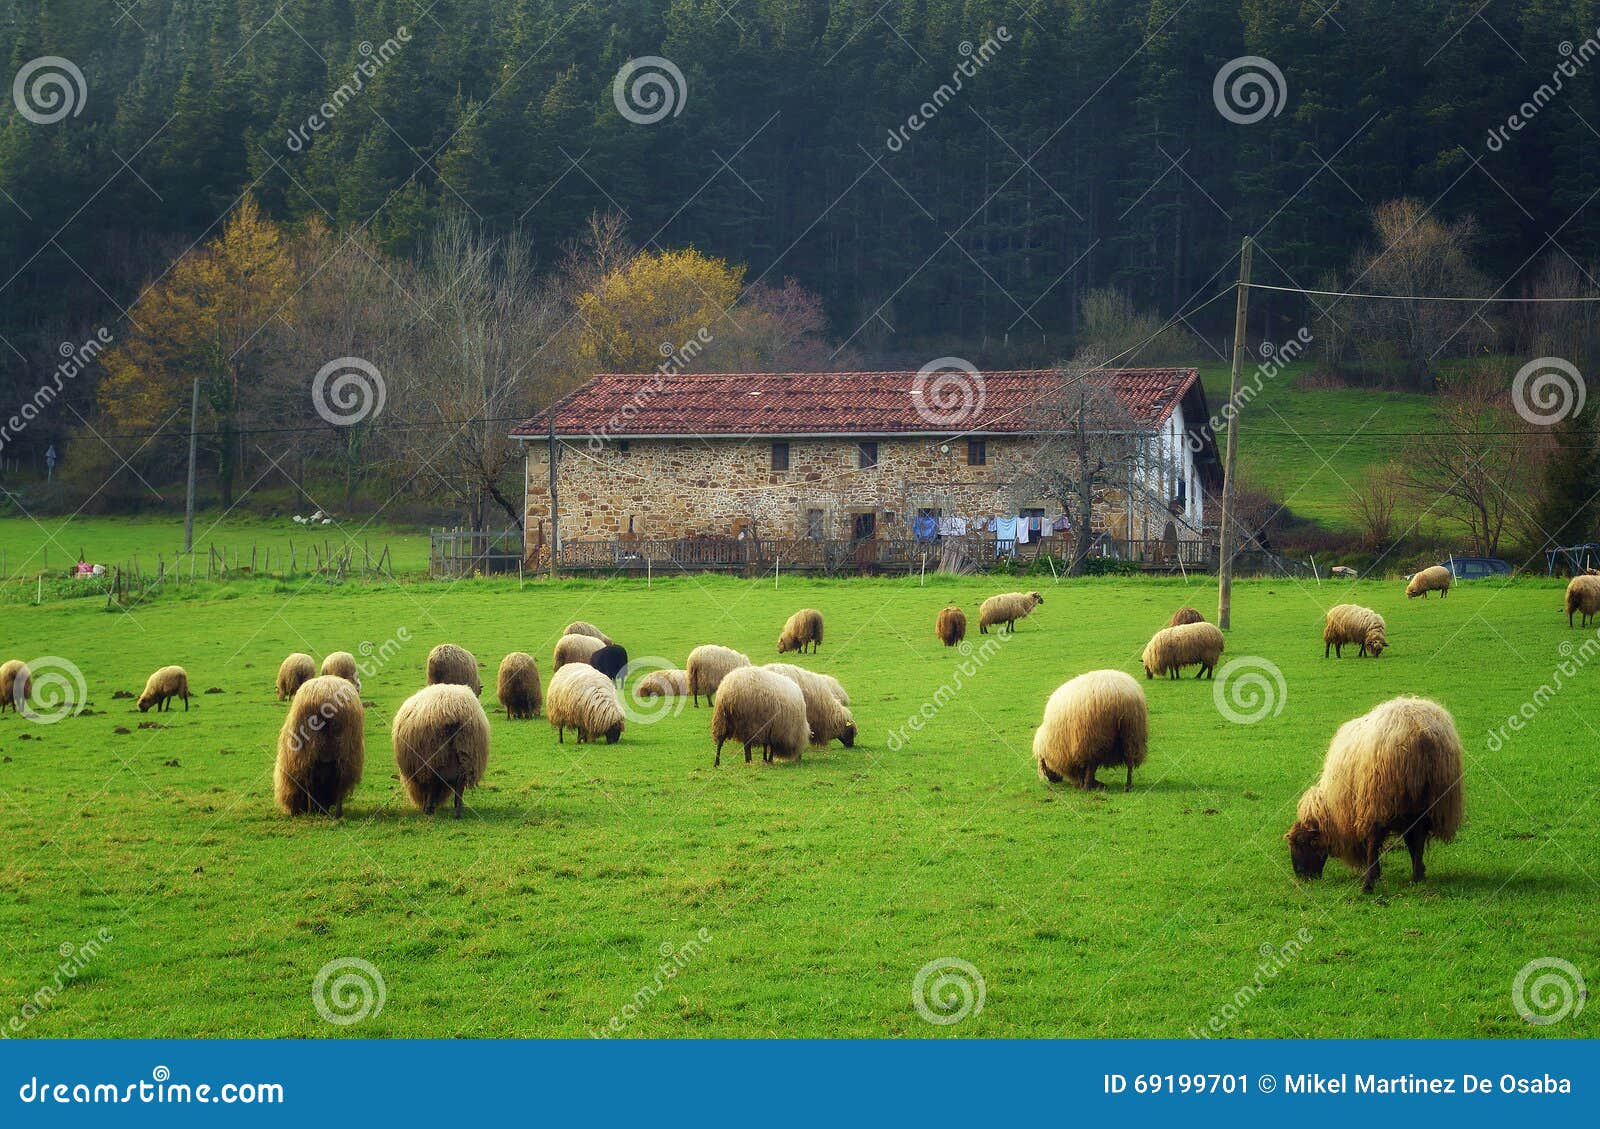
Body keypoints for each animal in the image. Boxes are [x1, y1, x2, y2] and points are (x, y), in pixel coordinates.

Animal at [273, 675, 364, 818]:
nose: (321, 809)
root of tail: (327, 695)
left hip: (307, 749)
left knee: (309, 779)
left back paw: (312, 811)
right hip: (346, 748)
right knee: (341, 778)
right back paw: (337, 813)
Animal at [391, 684, 491, 817]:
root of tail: (453, 711)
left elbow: (429, 788)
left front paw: (428, 806)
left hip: (432, 756)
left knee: (433, 782)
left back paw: (429, 810)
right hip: (467, 754)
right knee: (460, 786)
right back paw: (457, 812)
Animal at [1286, 696, 1464, 893]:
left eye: (1301, 844)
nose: (1302, 877)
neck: (1331, 812)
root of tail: (1420, 732)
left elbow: (1371, 843)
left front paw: (1376, 873)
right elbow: (1411, 841)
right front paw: (1420, 871)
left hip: (1377, 797)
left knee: (1376, 838)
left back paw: (1368, 884)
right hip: (1431, 798)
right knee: (1418, 838)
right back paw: (1416, 876)